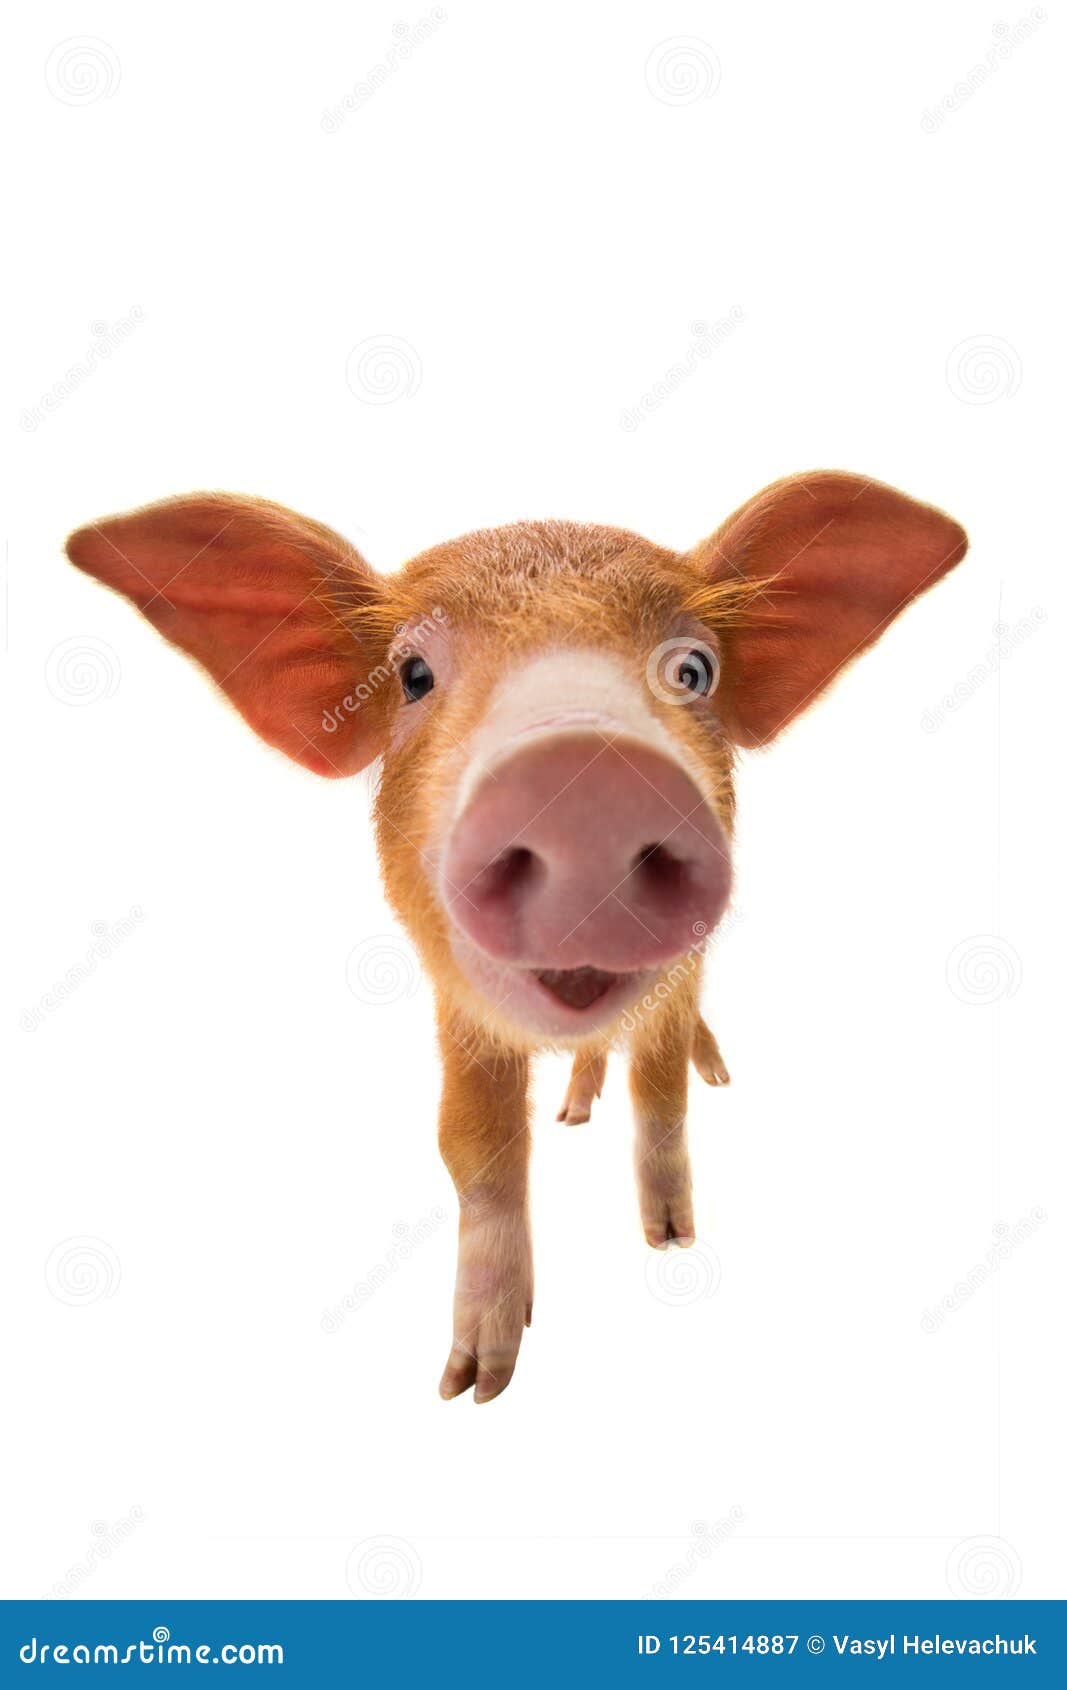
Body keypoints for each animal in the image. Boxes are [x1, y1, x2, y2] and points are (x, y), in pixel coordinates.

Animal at [65, 470, 966, 1401]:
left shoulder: (673, 986)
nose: (587, 775)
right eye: (413, 675)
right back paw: (571, 1112)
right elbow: (471, 1146)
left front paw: (670, 1240)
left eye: (694, 670)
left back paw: (703, 1076)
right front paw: (471, 1382)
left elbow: (661, 1098)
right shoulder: (458, 1013)